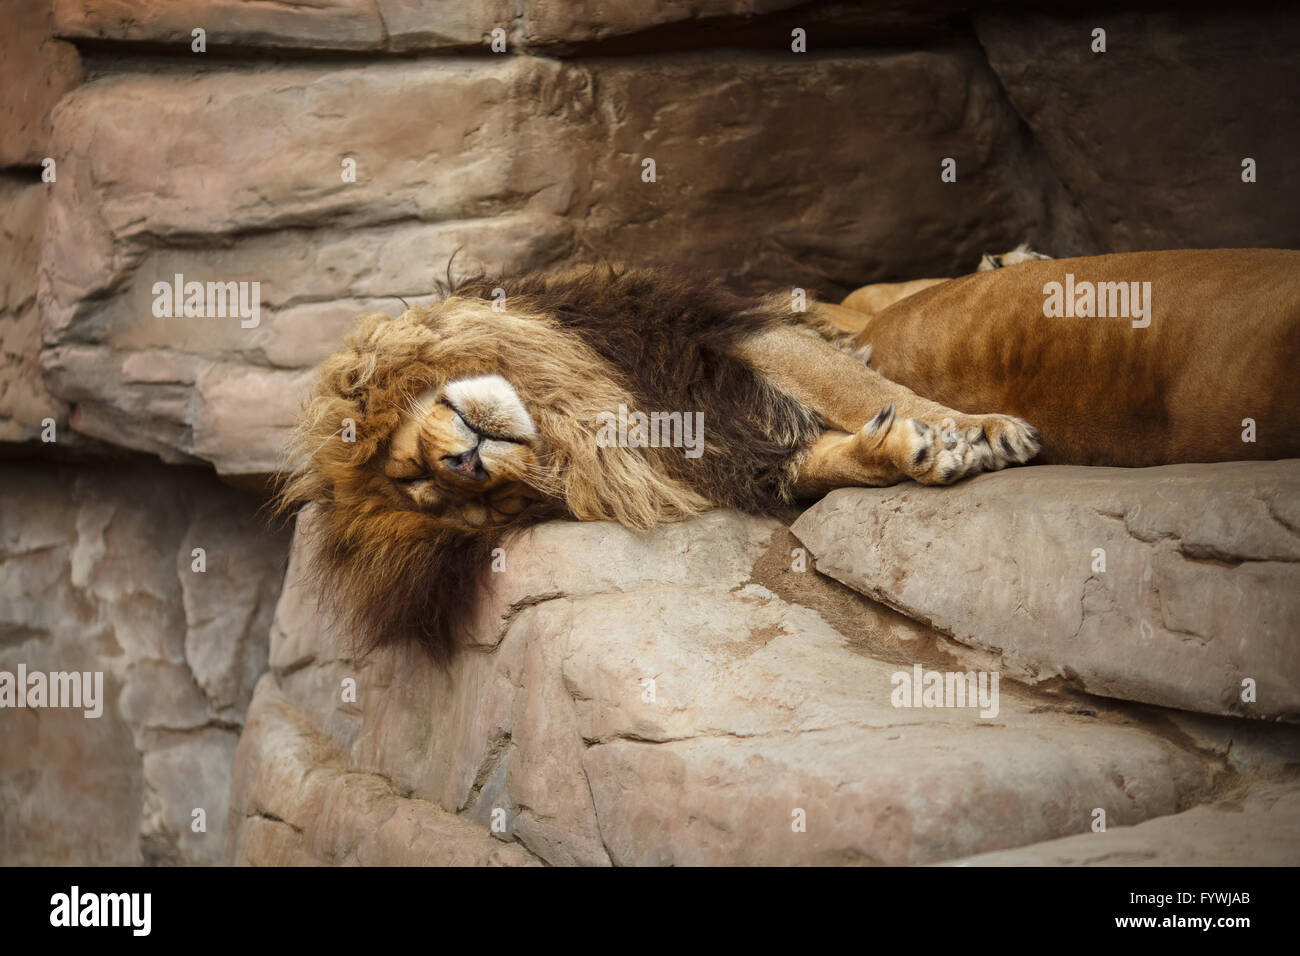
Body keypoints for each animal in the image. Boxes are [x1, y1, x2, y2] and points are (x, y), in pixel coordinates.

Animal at [276, 249, 1300, 663]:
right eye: (455, 506)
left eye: (405, 469)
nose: (462, 468)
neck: (588, 411)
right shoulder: (736, 442)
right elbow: (822, 456)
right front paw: (907, 450)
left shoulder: (710, 340)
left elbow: (839, 373)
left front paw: (974, 428)